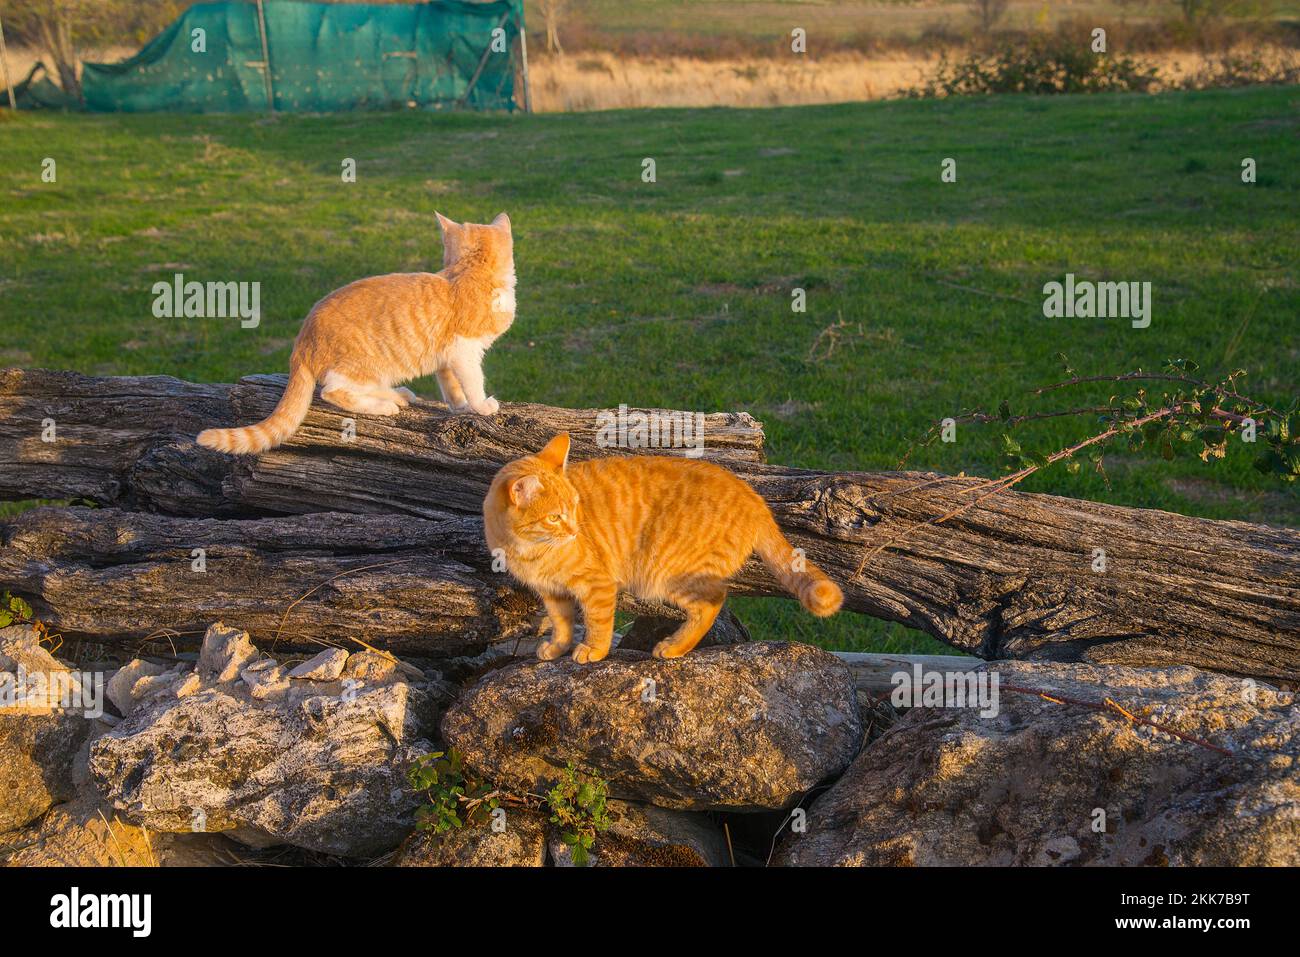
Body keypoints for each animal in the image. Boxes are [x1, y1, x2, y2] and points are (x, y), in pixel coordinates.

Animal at [195, 213, 514, 455]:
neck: (469, 274)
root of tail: (301, 343)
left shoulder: (447, 357)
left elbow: (451, 386)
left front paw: (459, 406)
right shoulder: (464, 352)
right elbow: (473, 382)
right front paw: (481, 406)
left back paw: (396, 394)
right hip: (364, 365)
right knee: (333, 391)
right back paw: (385, 405)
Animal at [486, 431, 842, 660]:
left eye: (574, 507)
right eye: (555, 517)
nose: (575, 530)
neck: (528, 550)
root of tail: (754, 497)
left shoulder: (597, 586)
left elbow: (597, 623)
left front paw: (593, 650)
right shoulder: (552, 593)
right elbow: (561, 623)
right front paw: (557, 648)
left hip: (668, 573)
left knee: (713, 601)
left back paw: (673, 646)